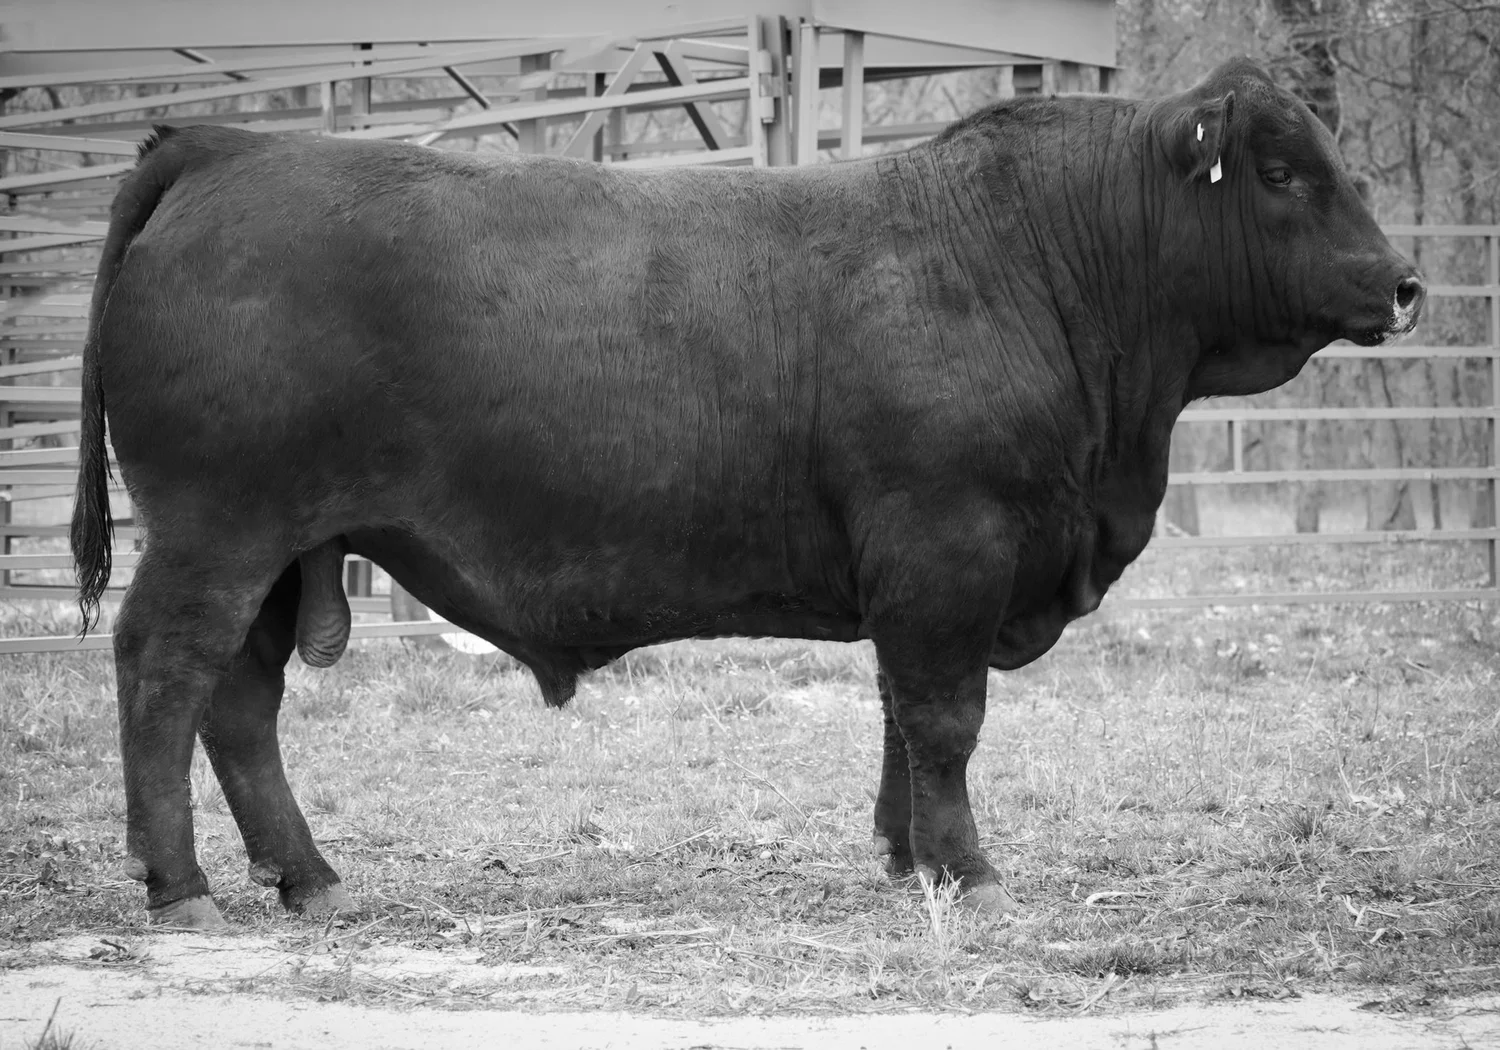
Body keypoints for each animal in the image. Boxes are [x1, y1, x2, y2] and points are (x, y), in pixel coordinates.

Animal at [72, 58, 1423, 929]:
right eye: (1281, 170)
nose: (1406, 282)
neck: (1041, 264)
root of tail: (224, 147)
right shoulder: (948, 549)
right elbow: (945, 718)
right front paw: (968, 870)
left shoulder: (912, 577)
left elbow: (897, 714)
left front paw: (905, 856)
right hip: (217, 534)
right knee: (166, 674)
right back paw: (180, 886)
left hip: (273, 550)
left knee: (241, 705)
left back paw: (305, 875)